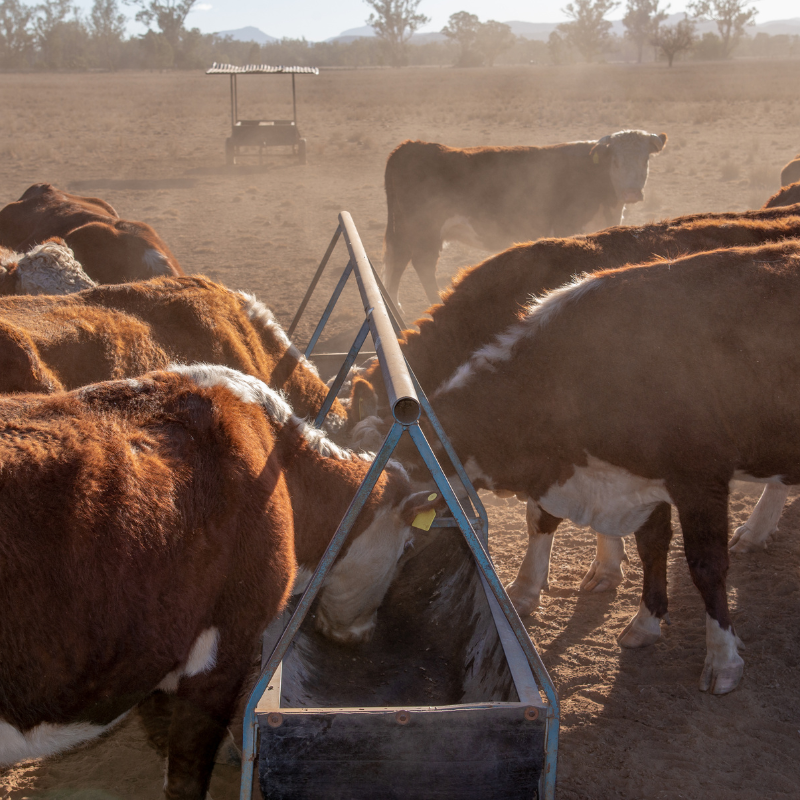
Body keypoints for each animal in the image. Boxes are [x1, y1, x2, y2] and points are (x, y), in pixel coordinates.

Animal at [382, 130, 667, 307]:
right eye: (615, 161)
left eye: (645, 160)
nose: (631, 192)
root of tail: (411, 146)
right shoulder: (566, 225)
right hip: (424, 230)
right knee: (422, 264)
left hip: (406, 231)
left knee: (398, 263)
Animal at [386, 240, 800, 695]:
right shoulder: (639, 482)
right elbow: (650, 546)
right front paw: (645, 622)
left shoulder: (699, 478)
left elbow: (706, 566)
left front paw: (722, 658)